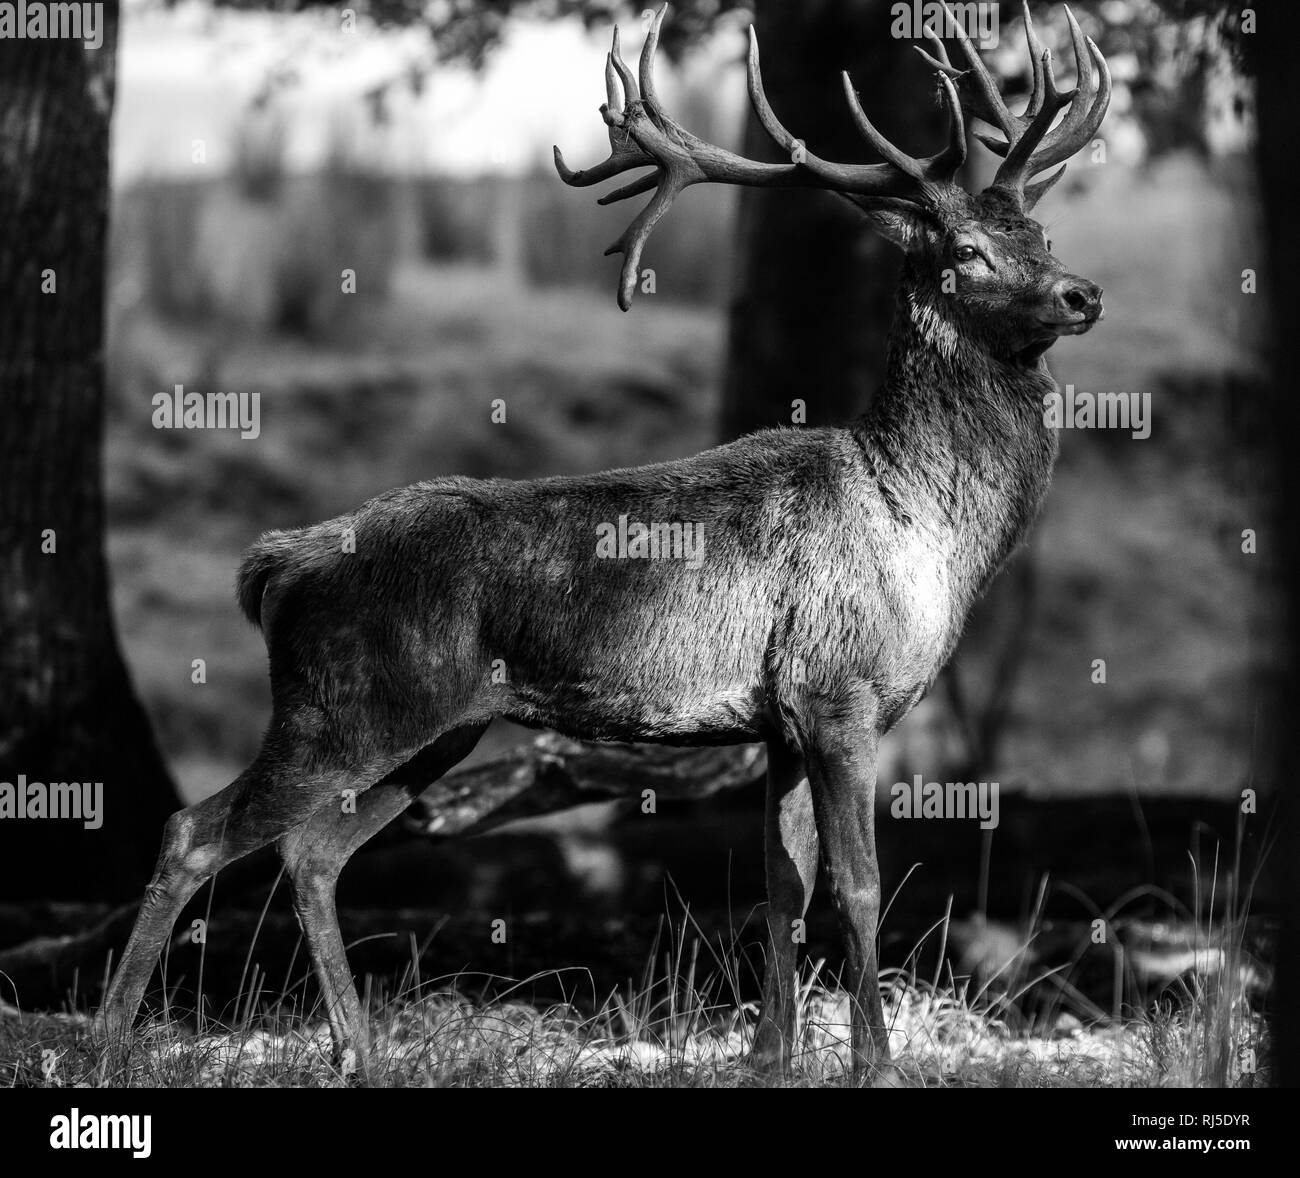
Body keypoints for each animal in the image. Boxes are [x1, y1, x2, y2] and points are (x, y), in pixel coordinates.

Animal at [94, 1, 1109, 1080]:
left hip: (433, 724)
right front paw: (874, 1061)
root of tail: (276, 565)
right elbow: (858, 886)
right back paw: (109, 1039)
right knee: (196, 829)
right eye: (965, 249)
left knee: (315, 851)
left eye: (1040, 230)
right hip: (344, 702)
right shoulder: (842, 691)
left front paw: (769, 1053)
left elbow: (781, 883)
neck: (925, 528)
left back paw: (358, 1051)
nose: (1081, 294)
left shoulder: (780, 720)